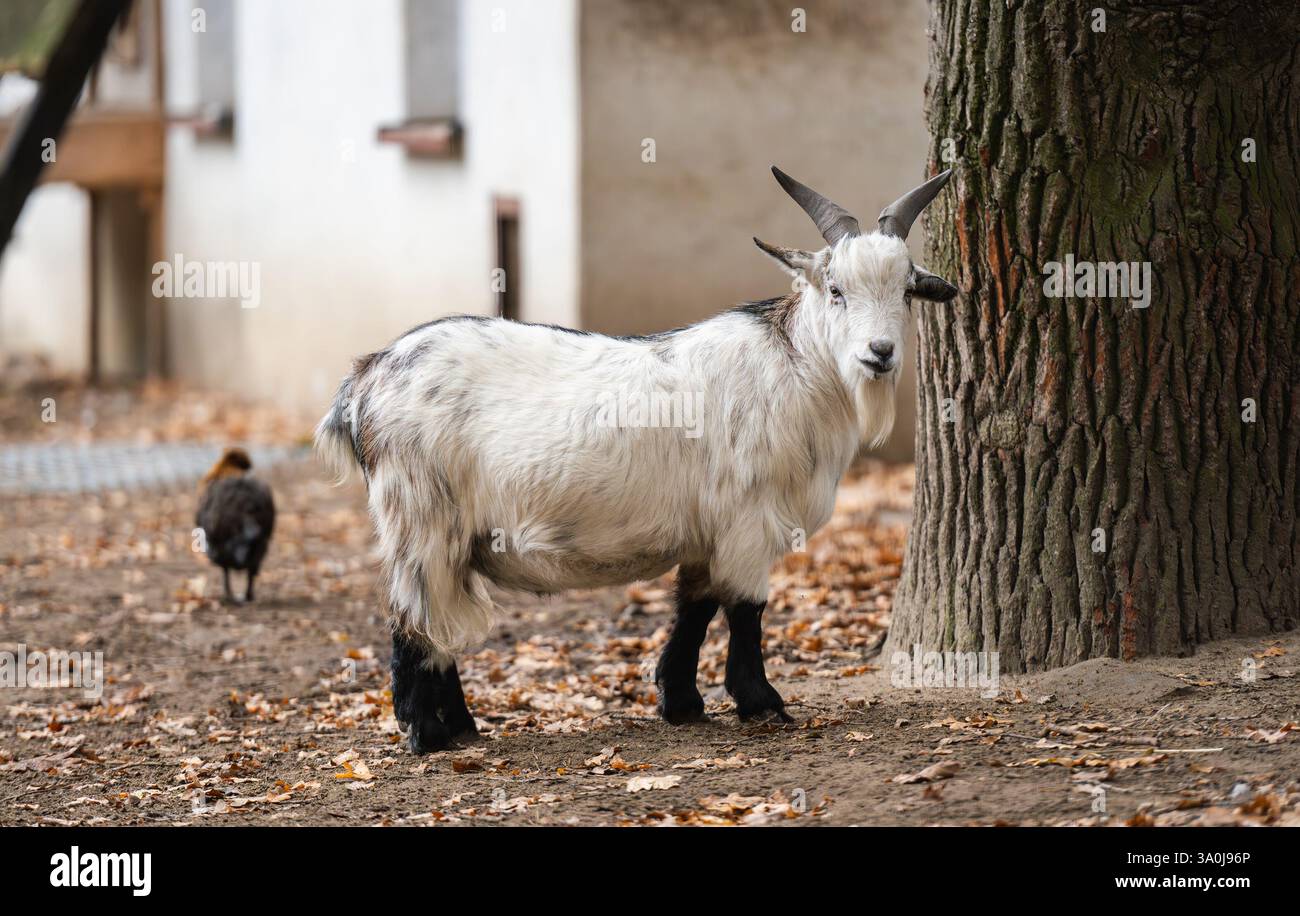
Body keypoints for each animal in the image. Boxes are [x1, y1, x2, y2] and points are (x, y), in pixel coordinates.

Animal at [316, 167, 958, 753]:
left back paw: (462, 728)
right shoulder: (747, 522)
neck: (796, 367)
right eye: (836, 290)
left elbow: (695, 606)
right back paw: (425, 734)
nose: (879, 354)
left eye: (906, 291)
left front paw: (682, 703)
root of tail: (367, 377)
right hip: (419, 515)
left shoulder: (707, 530)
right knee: (412, 617)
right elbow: (746, 608)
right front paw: (762, 702)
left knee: (438, 617)